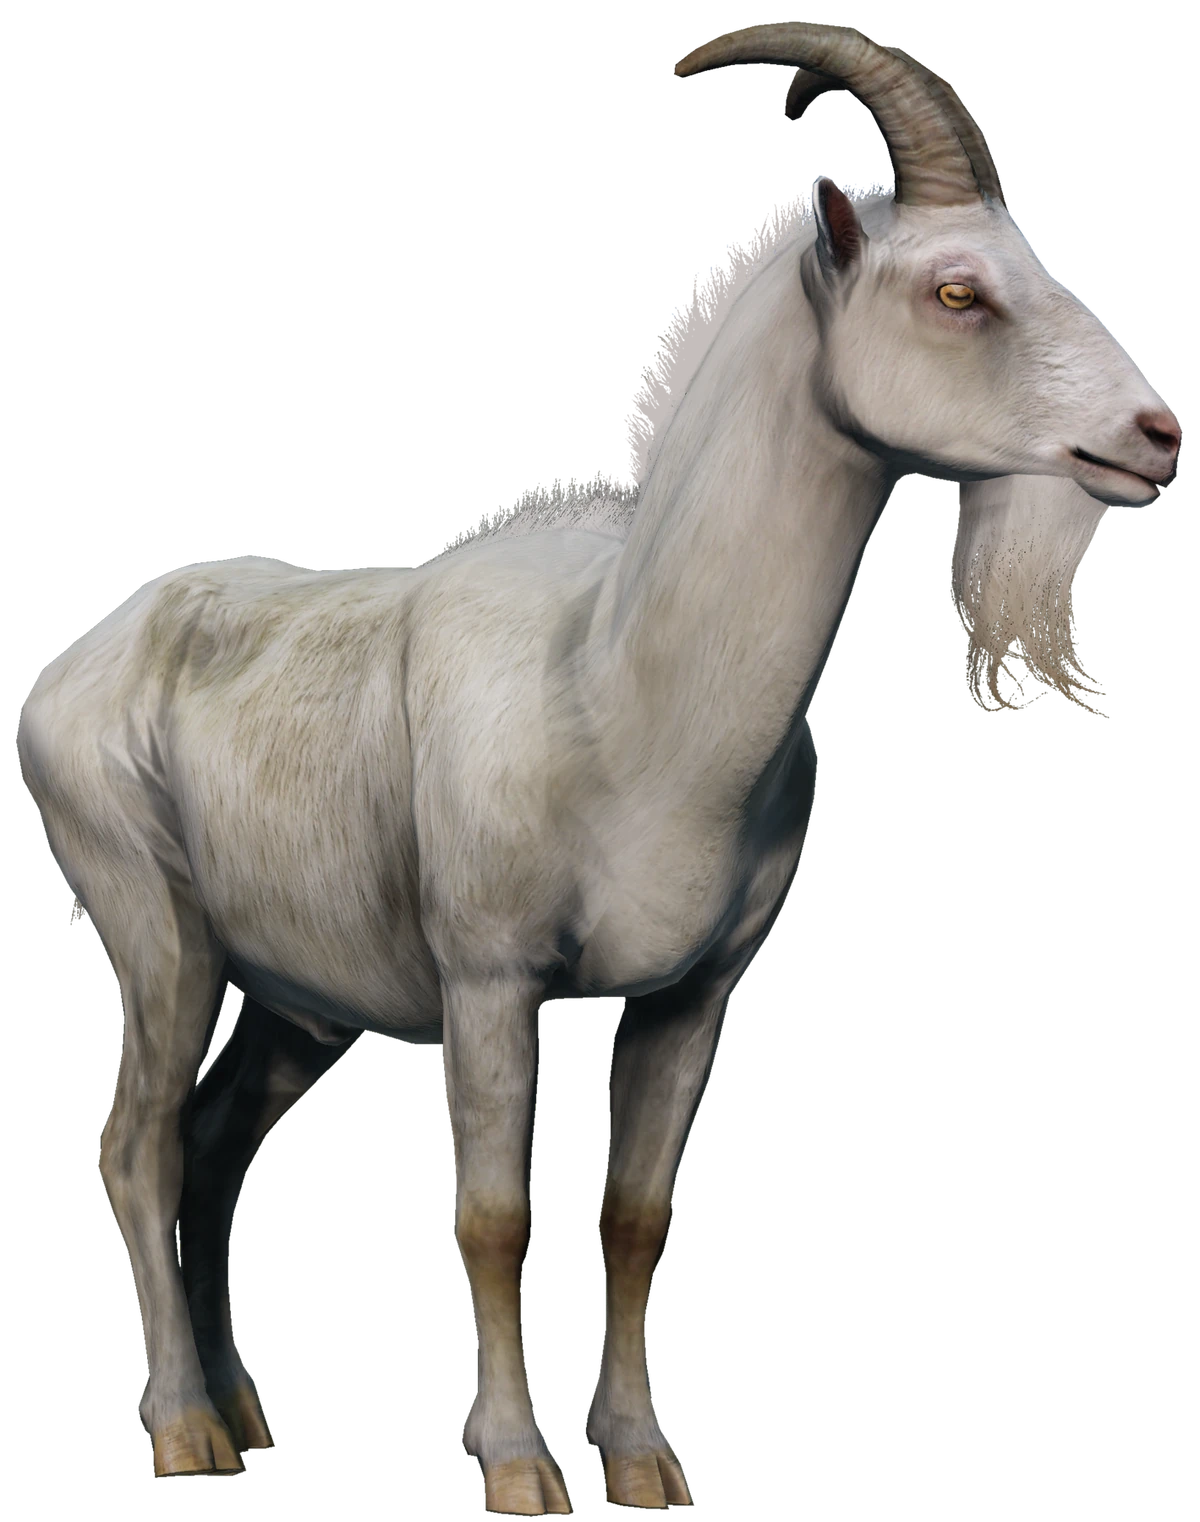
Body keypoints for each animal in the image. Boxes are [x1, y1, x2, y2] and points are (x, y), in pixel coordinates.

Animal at [14, 20, 1181, 1512]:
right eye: (959, 289)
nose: (1156, 438)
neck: (618, 692)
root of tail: (85, 659)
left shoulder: (694, 991)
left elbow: (636, 1212)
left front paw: (640, 1461)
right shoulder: (492, 978)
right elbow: (497, 1214)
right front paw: (520, 1468)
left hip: (300, 1001)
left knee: (215, 1149)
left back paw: (249, 1416)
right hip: (160, 933)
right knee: (141, 1145)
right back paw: (182, 1433)